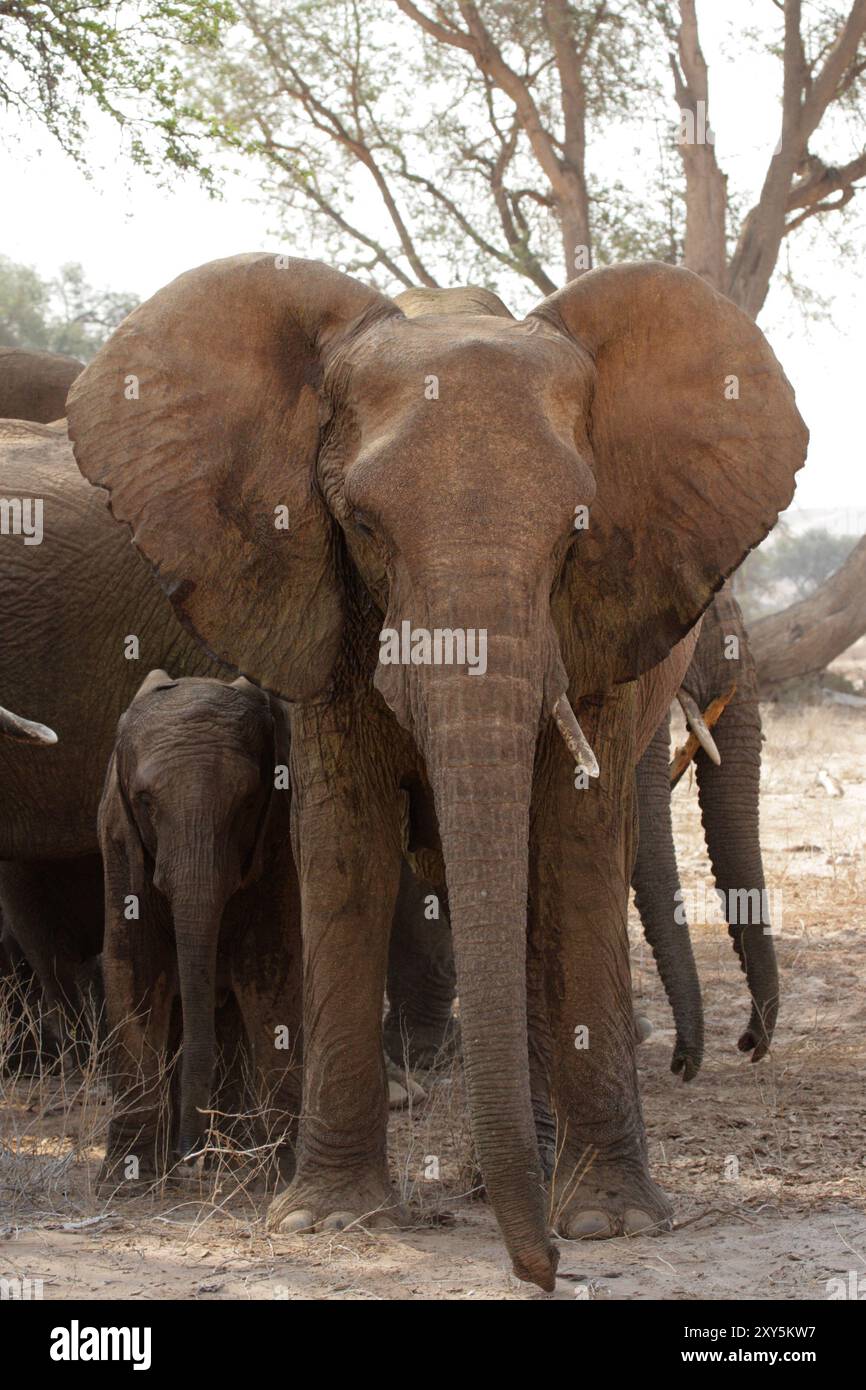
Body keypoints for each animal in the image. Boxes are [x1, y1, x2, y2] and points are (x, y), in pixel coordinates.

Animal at [97, 669, 301, 1186]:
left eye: (247, 803)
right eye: (146, 802)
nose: (191, 1160)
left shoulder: (278, 842)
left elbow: (270, 973)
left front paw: (280, 1176)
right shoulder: (119, 839)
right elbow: (135, 969)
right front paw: (128, 1180)